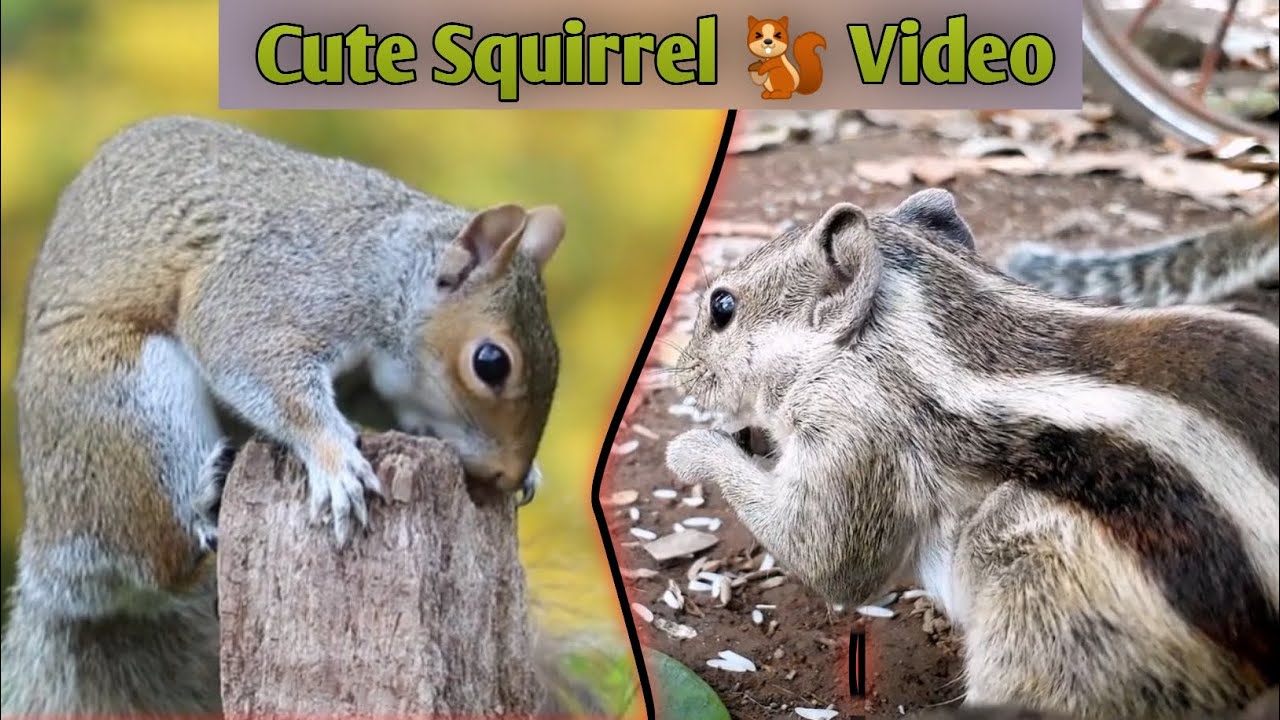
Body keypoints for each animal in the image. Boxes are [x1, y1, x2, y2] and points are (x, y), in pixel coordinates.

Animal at [1, 116, 566, 714]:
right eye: (491, 362)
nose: (506, 474)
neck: (388, 268)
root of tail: (49, 563)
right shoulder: (277, 286)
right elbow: (251, 359)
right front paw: (336, 460)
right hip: (132, 409)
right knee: (164, 563)